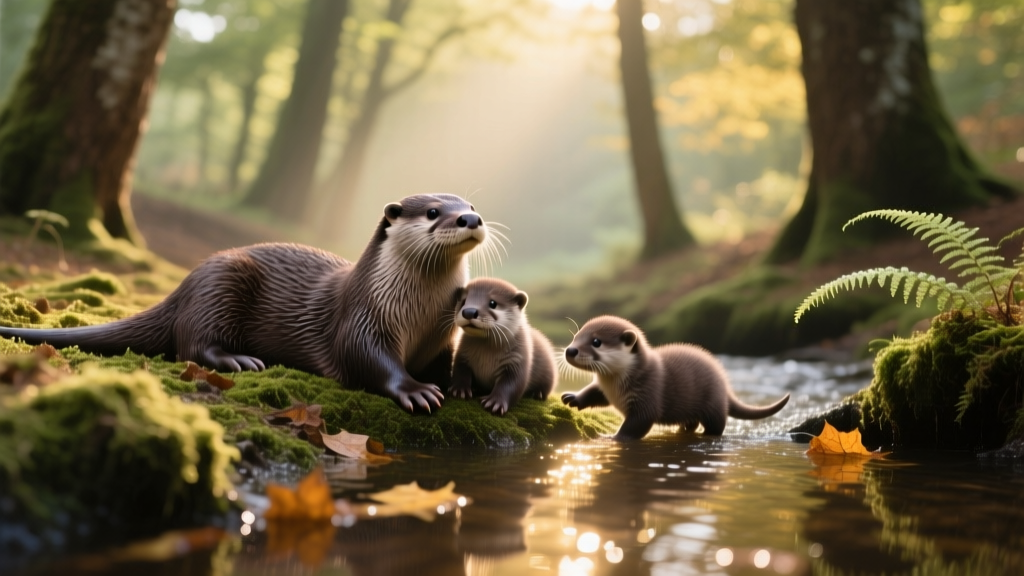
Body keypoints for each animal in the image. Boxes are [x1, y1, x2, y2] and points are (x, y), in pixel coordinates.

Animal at [0, 194, 491, 412]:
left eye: (469, 203)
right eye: (433, 212)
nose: (471, 217)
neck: (418, 316)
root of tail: (184, 285)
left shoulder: (441, 337)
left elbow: (445, 363)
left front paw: (461, 385)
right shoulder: (363, 319)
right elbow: (369, 360)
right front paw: (414, 390)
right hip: (220, 287)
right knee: (191, 345)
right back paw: (239, 361)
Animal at [450, 277, 556, 415]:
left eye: (493, 303)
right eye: (463, 301)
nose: (469, 311)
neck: (487, 356)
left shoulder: (517, 361)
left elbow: (511, 385)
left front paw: (495, 402)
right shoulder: (462, 354)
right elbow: (460, 370)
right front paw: (460, 389)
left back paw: (538, 394)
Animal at [560, 315, 789, 440]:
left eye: (596, 342)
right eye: (575, 336)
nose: (570, 350)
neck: (615, 386)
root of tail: (725, 387)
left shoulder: (647, 394)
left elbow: (638, 423)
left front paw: (612, 437)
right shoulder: (603, 388)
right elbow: (592, 393)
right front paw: (573, 398)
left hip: (713, 403)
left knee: (718, 424)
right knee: (692, 422)